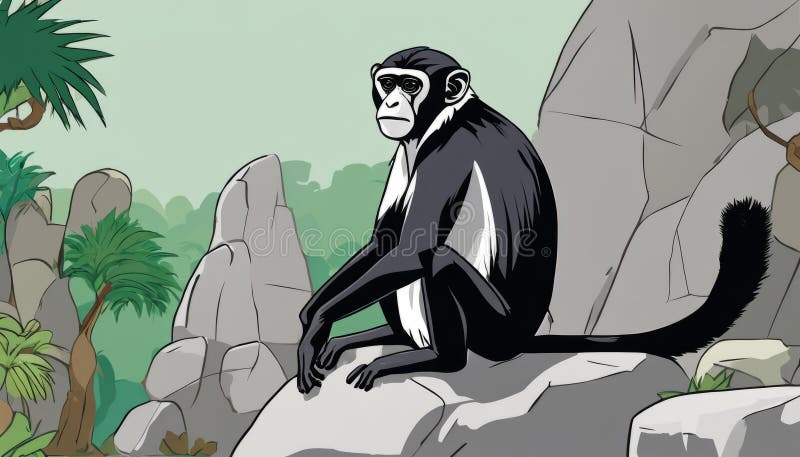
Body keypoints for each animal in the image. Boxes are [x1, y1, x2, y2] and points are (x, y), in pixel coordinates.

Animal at [296, 47, 771, 393]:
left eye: (411, 85)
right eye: (387, 83)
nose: (393, 102)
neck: (444, 120)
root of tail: (523, 337)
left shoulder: (449, 151)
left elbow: (414, 248)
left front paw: (317, 322)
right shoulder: (407, 152)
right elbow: (384, 242)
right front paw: (314, 318)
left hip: (494, 331)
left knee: (439, 261)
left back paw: (437, 358)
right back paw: (386, 337)